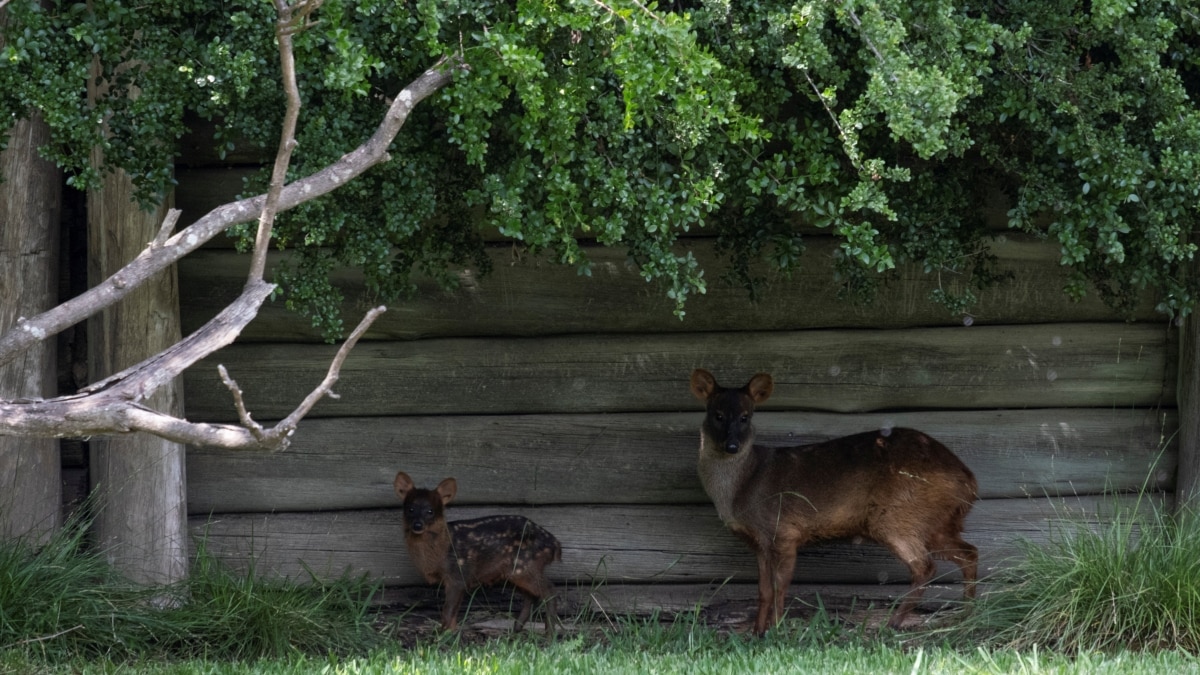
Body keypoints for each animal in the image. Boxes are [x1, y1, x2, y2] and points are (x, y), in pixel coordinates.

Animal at [393, 471, 562, 636]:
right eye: (410, 509)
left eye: (430, 511)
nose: (417, 525)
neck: (442, 550)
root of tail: (554, 544)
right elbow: (454, 612)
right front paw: (450, 633)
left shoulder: (457, 574)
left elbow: (448, 611)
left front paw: (441, 636)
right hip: (514, 572)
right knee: (531, 596)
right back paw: (516, 630)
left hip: (525, 565)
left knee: (550, 591)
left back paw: (549, 635)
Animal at [689, 369, 979, 634]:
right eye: (717, 415)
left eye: (745, 417)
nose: (732, 446)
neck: (742, 489)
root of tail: (969, 481)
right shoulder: (758, 542)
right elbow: (763, 590)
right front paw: (757, 633)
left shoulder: (784, 531)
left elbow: (780, 586)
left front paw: (777, 630)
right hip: (936, 521)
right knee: (969, 553)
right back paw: (966, 614)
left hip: (899, 515)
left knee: (925, 566)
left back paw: (893, 623)